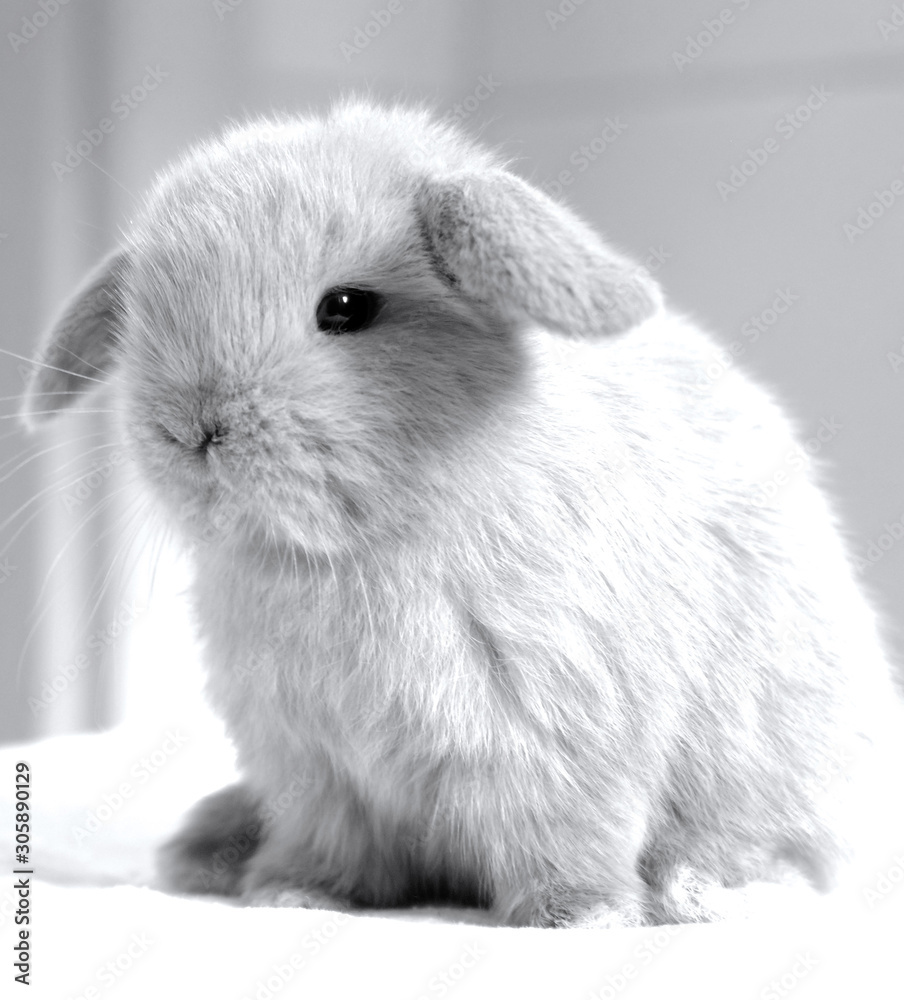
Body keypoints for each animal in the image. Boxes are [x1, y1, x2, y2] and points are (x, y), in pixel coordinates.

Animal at [22, 99, 899, 928]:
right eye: (141, 315)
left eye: (347, 307)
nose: (189, 429)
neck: (350, 550)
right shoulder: (316, 771)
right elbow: (330, 848)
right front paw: (296, 895)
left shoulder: (559, 741)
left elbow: (567, 836)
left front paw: (580, 915)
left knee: (789, 860)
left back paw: (698, 890)